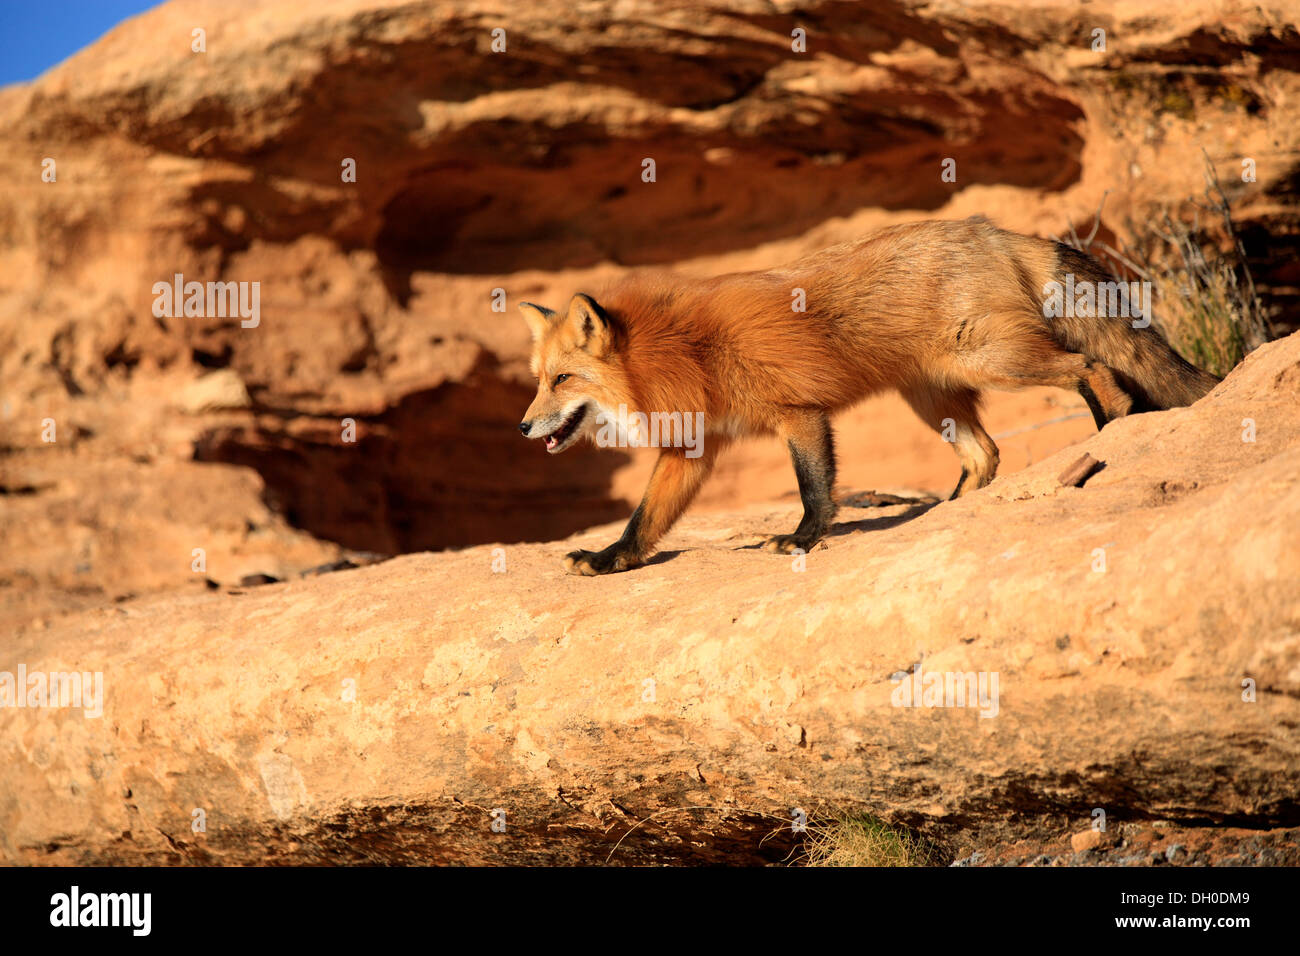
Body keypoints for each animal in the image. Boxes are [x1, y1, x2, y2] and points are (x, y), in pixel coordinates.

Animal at [517, 216, 1221, 576]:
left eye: (561, 380)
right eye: (537, 379)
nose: (521, 429)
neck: (684, 350)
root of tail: (992, 229)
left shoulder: (798, 414)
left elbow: (815, 490)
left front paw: (802, 541)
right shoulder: (694, 447)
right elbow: (645, 519)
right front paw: (611, 558)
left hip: (995, 359)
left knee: (1090, 368)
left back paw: (1109, 433)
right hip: (932, 396)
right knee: (985, 455)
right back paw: (944, 514)